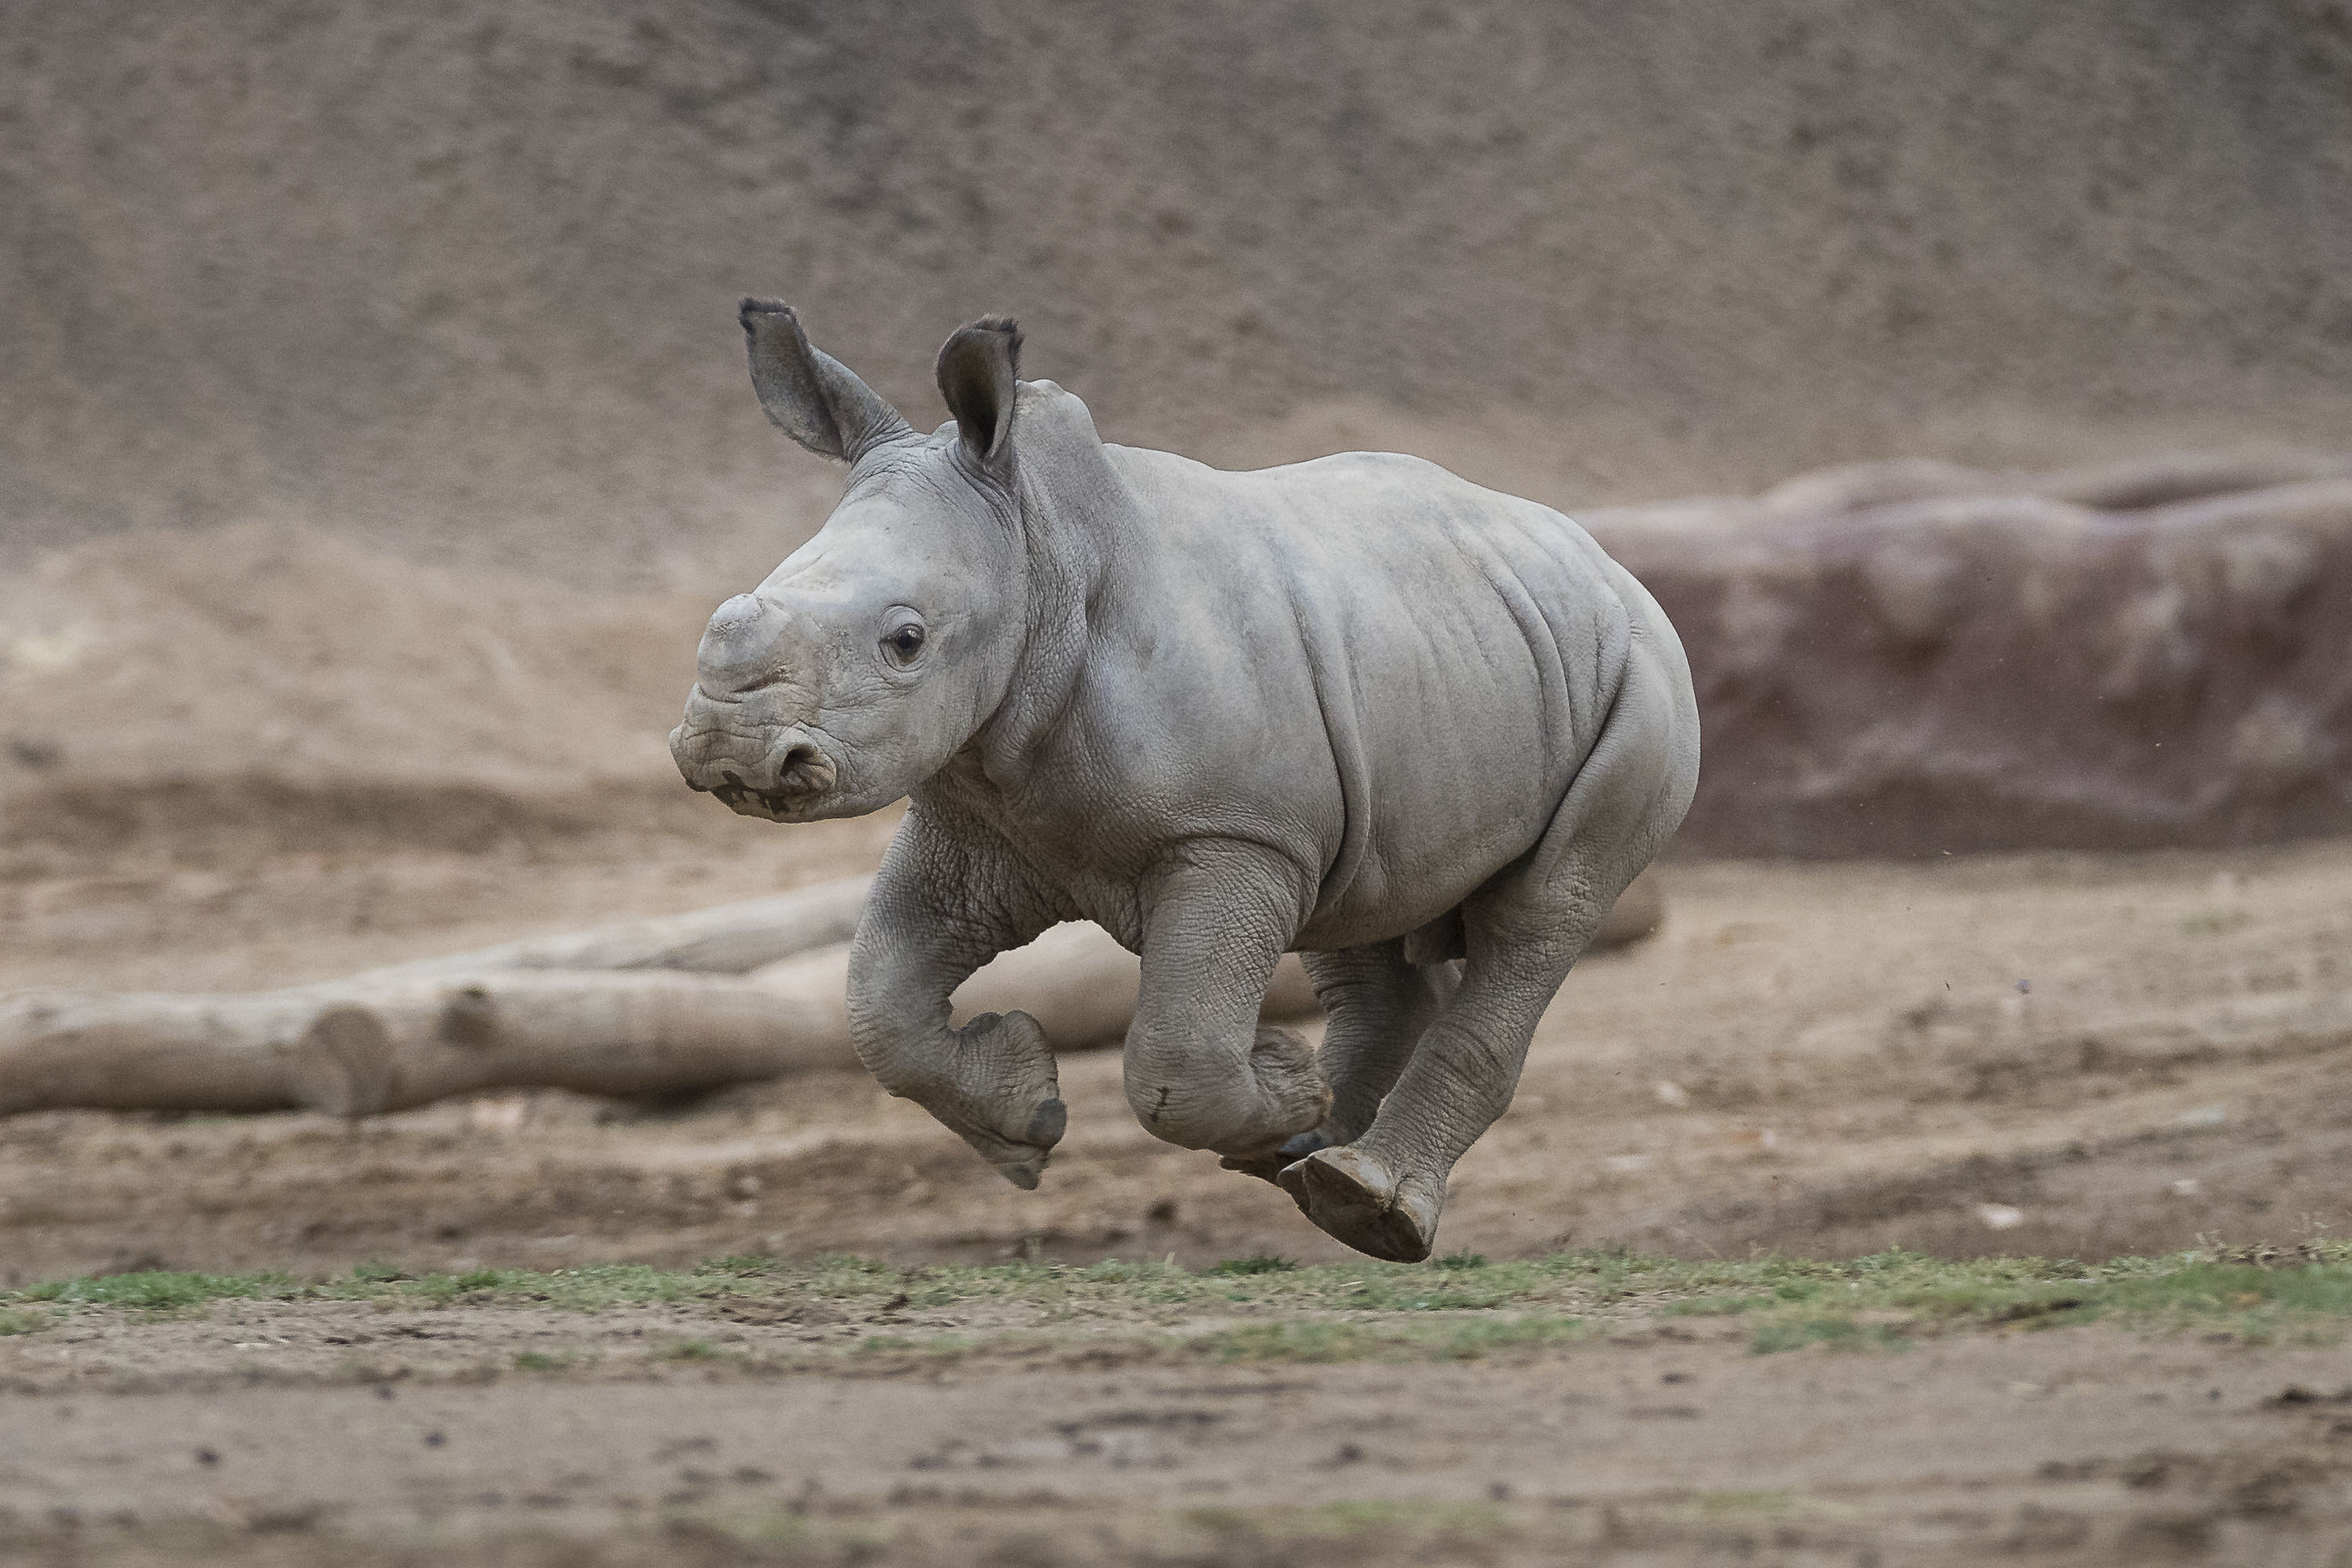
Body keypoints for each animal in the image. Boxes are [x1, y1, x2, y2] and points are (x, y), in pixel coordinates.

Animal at [671, 302, 1700, 1261]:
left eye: (906, 640)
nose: (728, 748)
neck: (1040, 553)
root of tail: (1599, 557)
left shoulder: (1233, 832)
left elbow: (1177, 1058)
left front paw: (1274, 1074)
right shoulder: (981, 824)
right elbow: (876, 1001)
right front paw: (1030, 1122)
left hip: (1643, 684)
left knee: (1541, 914)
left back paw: (1369, 1207)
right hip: (1427, 663)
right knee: (1361, 896)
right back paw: (1303, 1153)